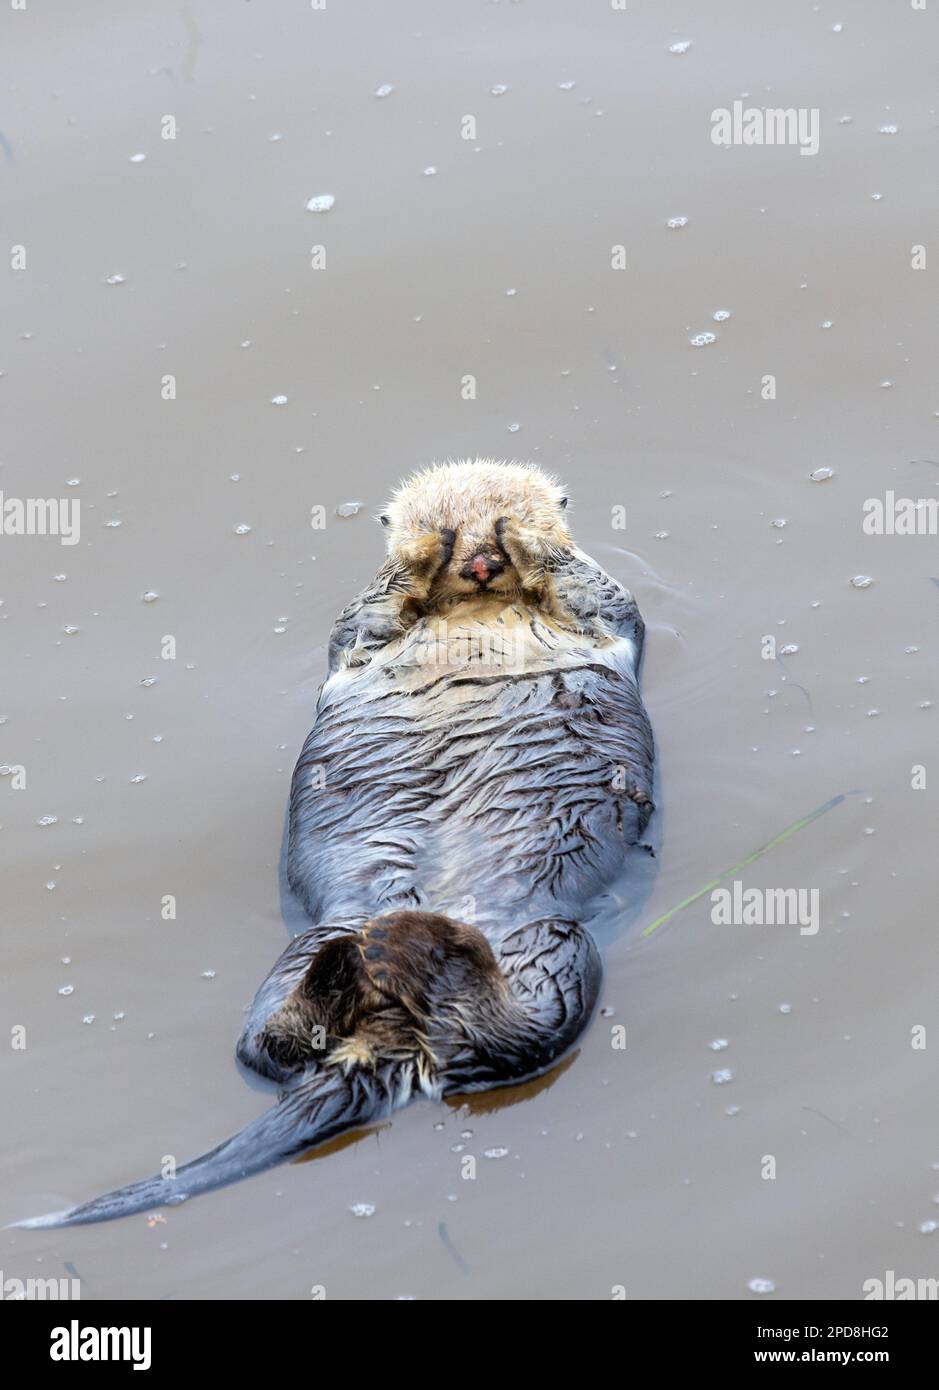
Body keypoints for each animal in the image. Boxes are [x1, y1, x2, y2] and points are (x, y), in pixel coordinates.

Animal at [17, 459, 654, 1227]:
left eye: (511, 512)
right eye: (439, 520)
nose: (478, 560)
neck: (476, 611)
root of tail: (388, 1036)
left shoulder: (604, 615)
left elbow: (592, 590)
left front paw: (524, 540)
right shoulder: (360, 633)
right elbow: (374, 608)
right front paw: (423, 554)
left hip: (556, 948)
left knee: (505, 1041)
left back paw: (420, 950)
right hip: (306, 948)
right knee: (270, 1045)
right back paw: (353, 966)